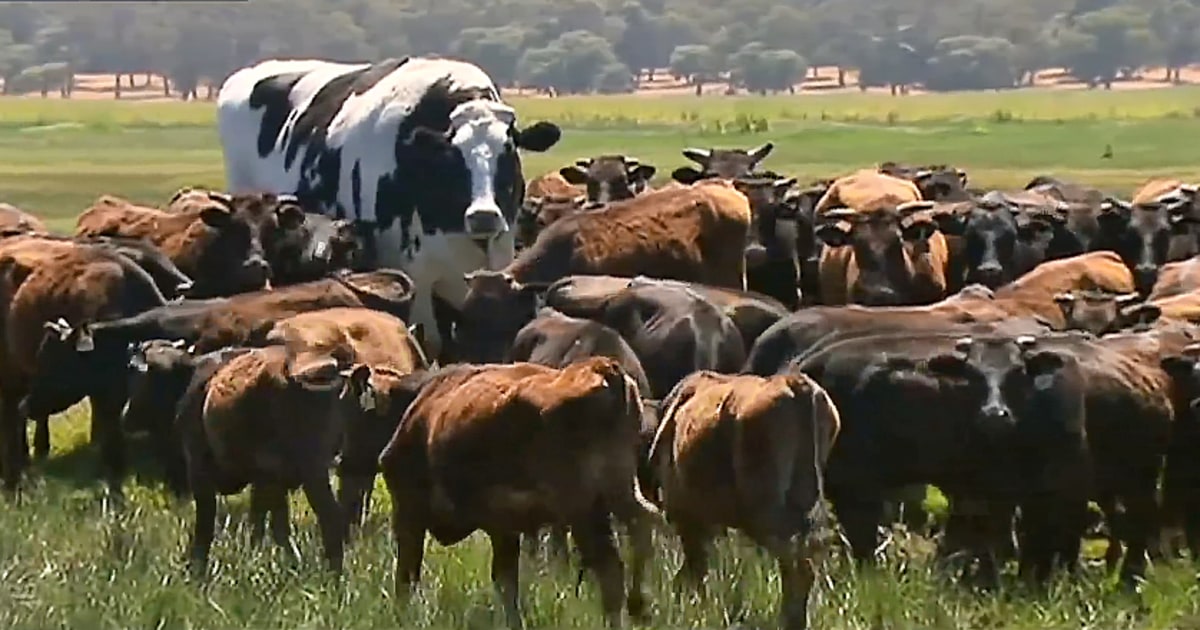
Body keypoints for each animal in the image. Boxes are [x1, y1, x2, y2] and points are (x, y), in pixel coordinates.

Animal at [378, 358, 655, 628]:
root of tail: (604, 368)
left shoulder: (409, 511)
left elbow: (406, 575)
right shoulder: (503, 528)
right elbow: (506, 582)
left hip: (582, 510)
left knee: (610, 566)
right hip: (620, 490)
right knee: (644, 522)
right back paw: (638, 605)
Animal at [640, 370, 839, 630]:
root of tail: (795, 383)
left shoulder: (688, 517)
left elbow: (694, 571)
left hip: (765, 512)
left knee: (799, 565)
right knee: (801, 561)